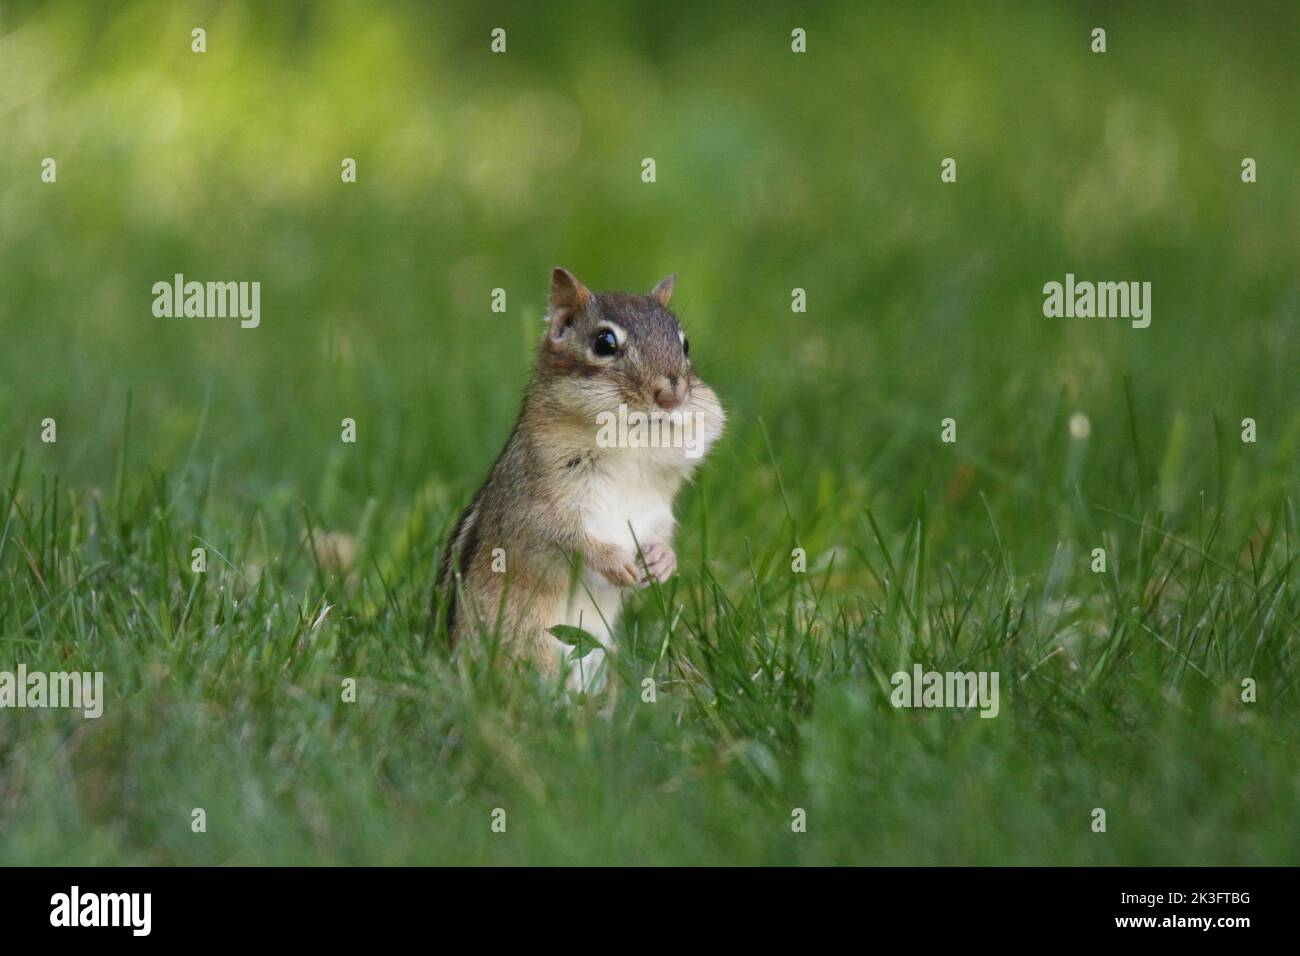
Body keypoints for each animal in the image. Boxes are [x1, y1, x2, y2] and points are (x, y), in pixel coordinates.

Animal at [435, 268, 725, 692]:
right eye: (604, 343)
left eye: (685, 345)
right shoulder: (534, 508)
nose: (672, 394)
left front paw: (662, 561)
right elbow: (562, 536)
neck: (631, 445)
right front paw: (614, 563)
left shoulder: (659, 506)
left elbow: (661, 533)